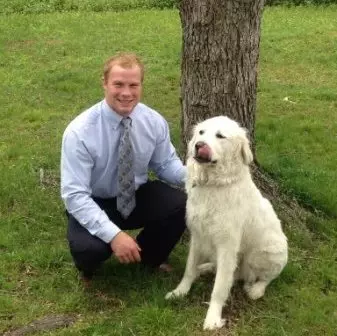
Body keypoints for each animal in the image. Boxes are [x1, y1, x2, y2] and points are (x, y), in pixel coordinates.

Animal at [165, 116, 286, 330]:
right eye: (201, 133)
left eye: (220, 136)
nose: (199, 145)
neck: (213, 185)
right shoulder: (197, 235)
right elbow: (189, 269)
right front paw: (180, 292)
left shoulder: (227, 245)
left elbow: (220, 287)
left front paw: (212, 318)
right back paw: (205, 268)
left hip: (266, 253)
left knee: (266, 277)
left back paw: (256, 290)